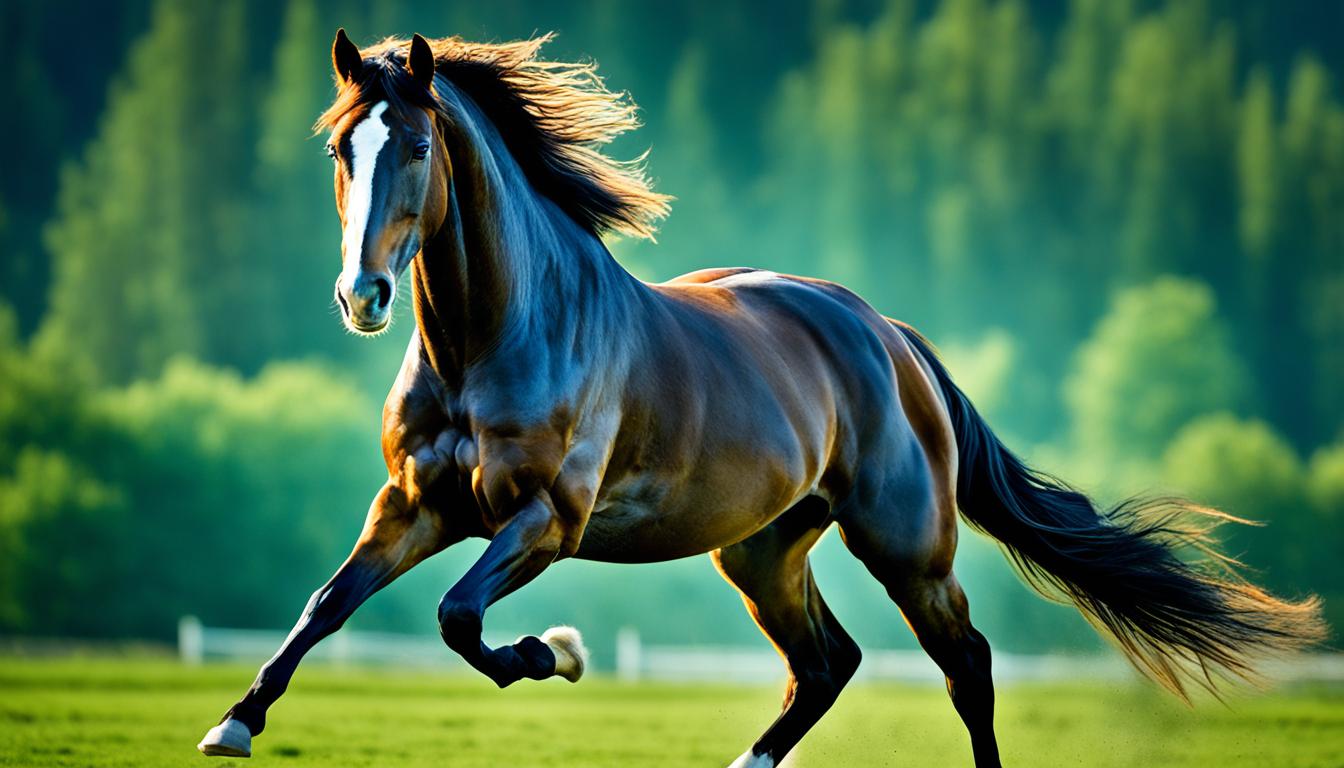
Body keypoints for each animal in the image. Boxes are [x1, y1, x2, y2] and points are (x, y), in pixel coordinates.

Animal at [198, 31, 1325, 767]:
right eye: (341, 147)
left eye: (419, 146)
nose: (362, 296)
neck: (497, 341)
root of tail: (892, 338)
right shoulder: (414, 506)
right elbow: (326, 604)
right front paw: (234, 723)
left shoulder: (546, 520)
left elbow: (458, 618)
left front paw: (554, 655)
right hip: (764, 548)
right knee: (827, 664)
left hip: (907, 544)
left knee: (965, 664)